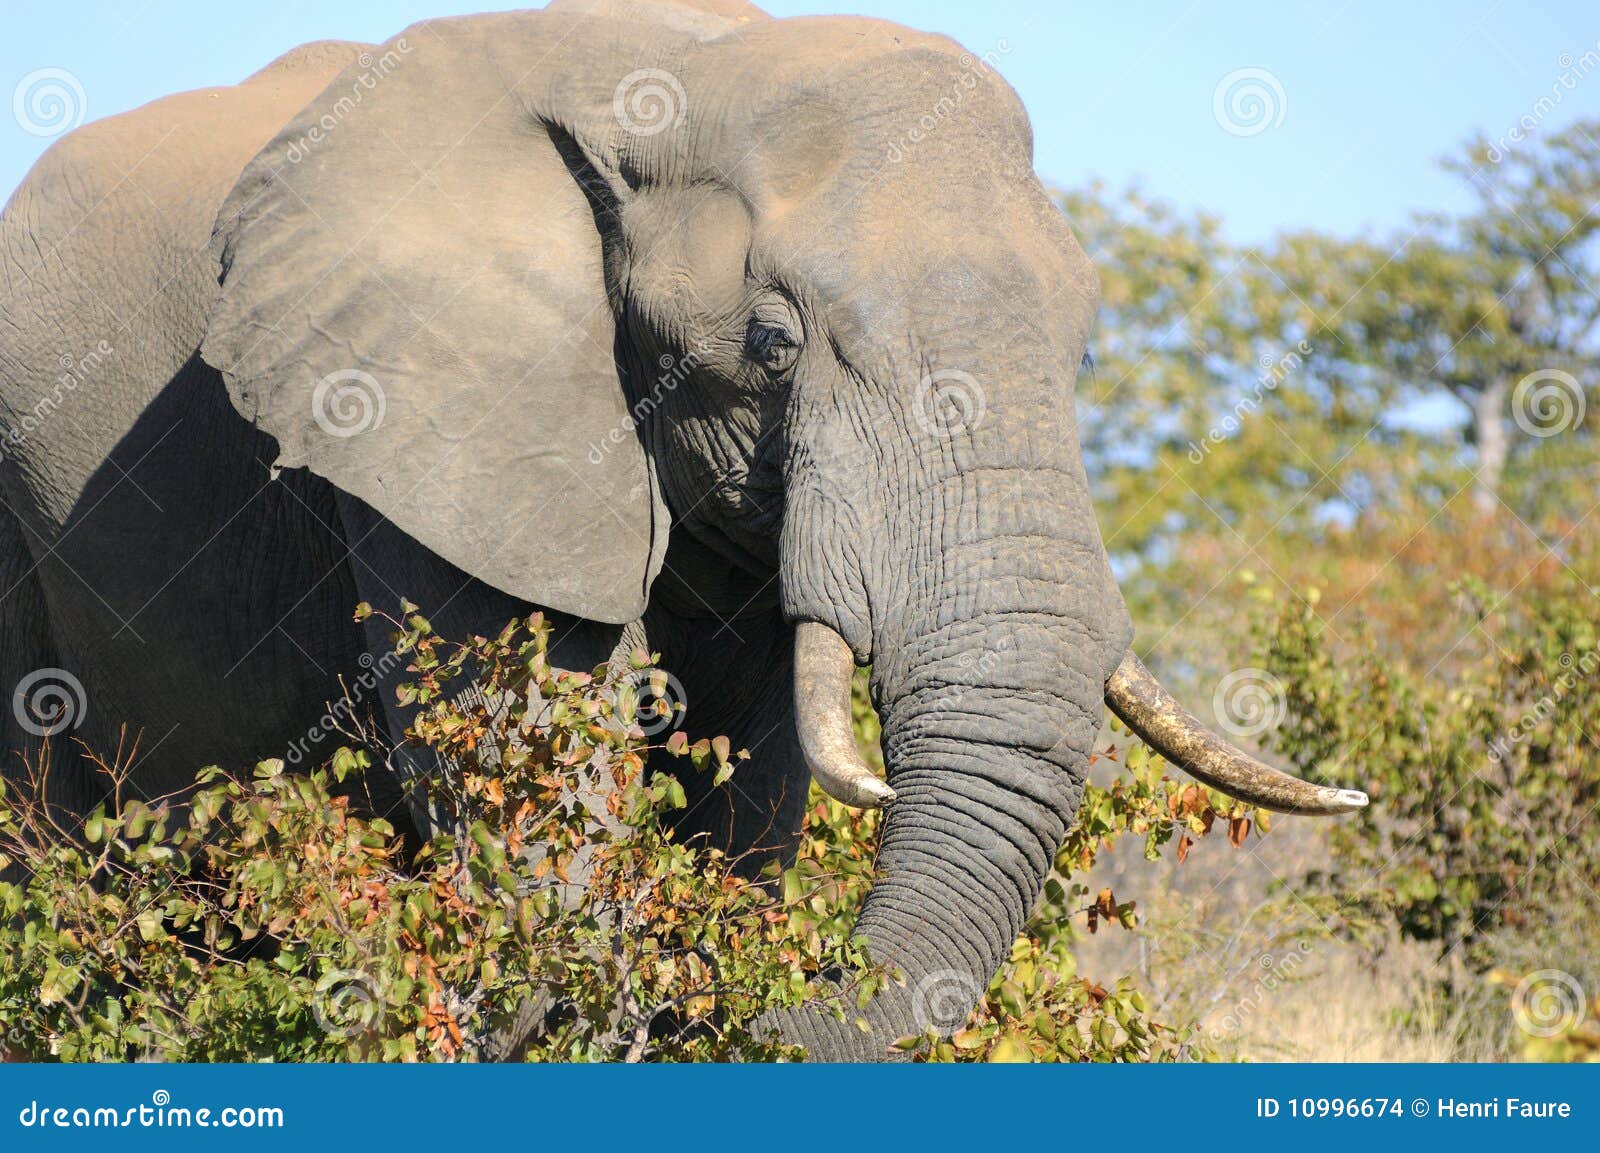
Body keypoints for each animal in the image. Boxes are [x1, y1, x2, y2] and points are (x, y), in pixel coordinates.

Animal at [0, 0, 1366, 1058]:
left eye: (1084, 345)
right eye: (770, 344)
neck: (678, 68)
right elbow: (540, 787)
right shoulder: (422, 420)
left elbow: (750, 778)